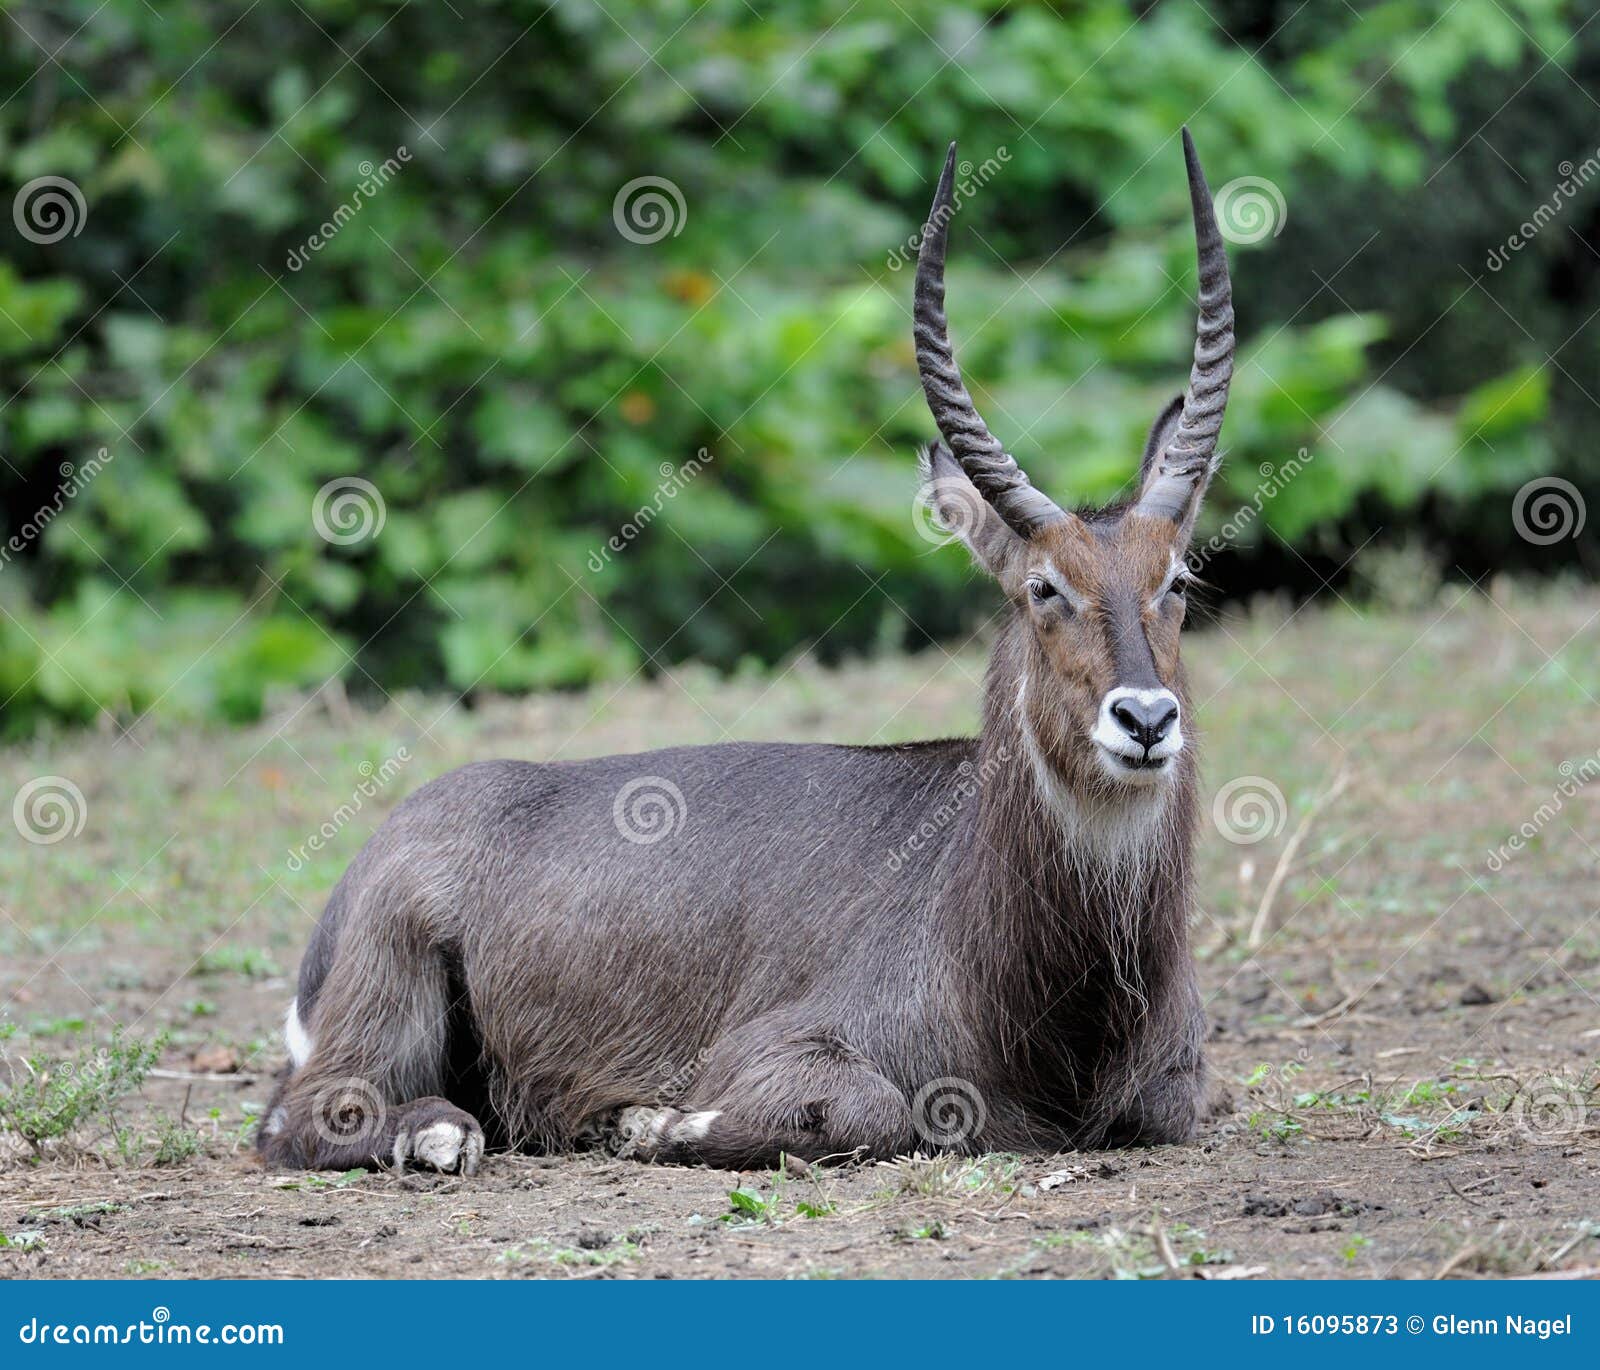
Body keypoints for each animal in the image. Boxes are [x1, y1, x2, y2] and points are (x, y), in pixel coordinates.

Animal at [259, 129, 1233, 1175]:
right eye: (1043, 588)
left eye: (1178, 581)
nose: (1144, 719)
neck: (1066, 1021)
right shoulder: (779, 1047)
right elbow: (876, 1112)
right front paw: (648, 1121)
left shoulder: (1175, 1083)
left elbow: (1167, 1106)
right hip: (388, 994)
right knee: (305, 1116)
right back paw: (442, 1130)